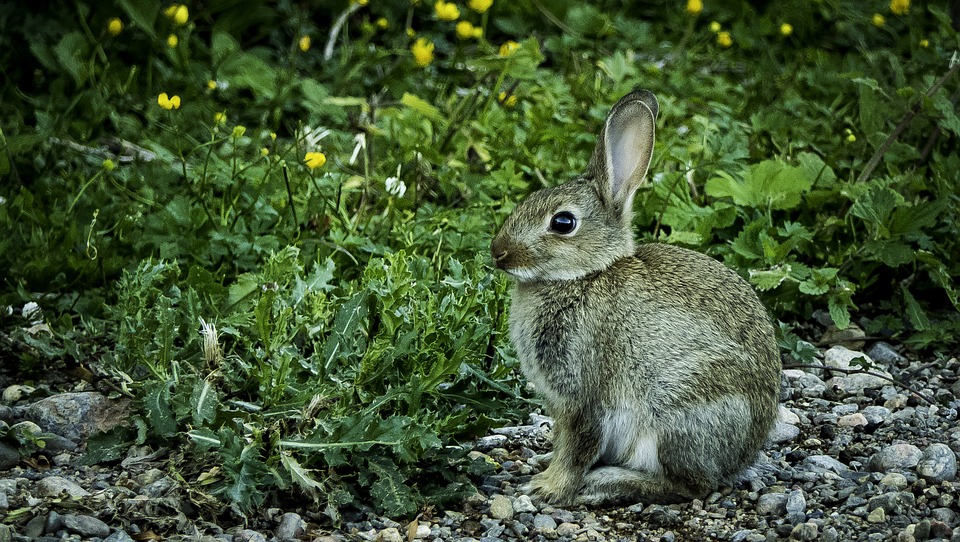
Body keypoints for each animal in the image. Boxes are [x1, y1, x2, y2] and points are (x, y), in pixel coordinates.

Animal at [489, 89, 781, 506]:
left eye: (563, 223)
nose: (498, 252)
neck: (584, 276)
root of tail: (743, 455)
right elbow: (563, 441)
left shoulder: (584, 396)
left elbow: (577, 445)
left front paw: (548, 488)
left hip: (678, 415)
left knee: (692, 486)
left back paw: (607, 483)